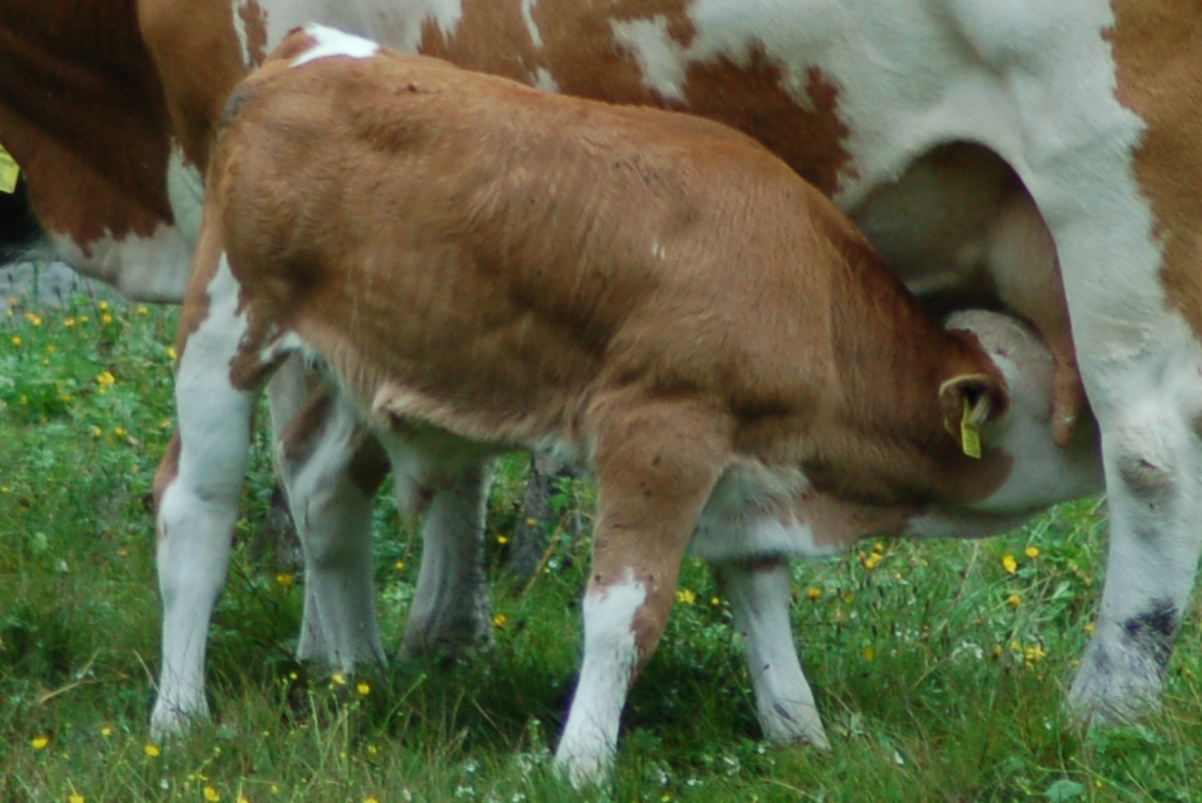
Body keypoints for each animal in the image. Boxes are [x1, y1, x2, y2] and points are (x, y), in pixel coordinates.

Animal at [1, 0, 1198, 749]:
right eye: (1026, 413)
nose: (1077, 433)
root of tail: (305, 55)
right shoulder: (653, 424)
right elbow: (612, 589)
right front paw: (514, 717)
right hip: (233, 317)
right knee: (196, 505)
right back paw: (180, 717)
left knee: (1150, 450)